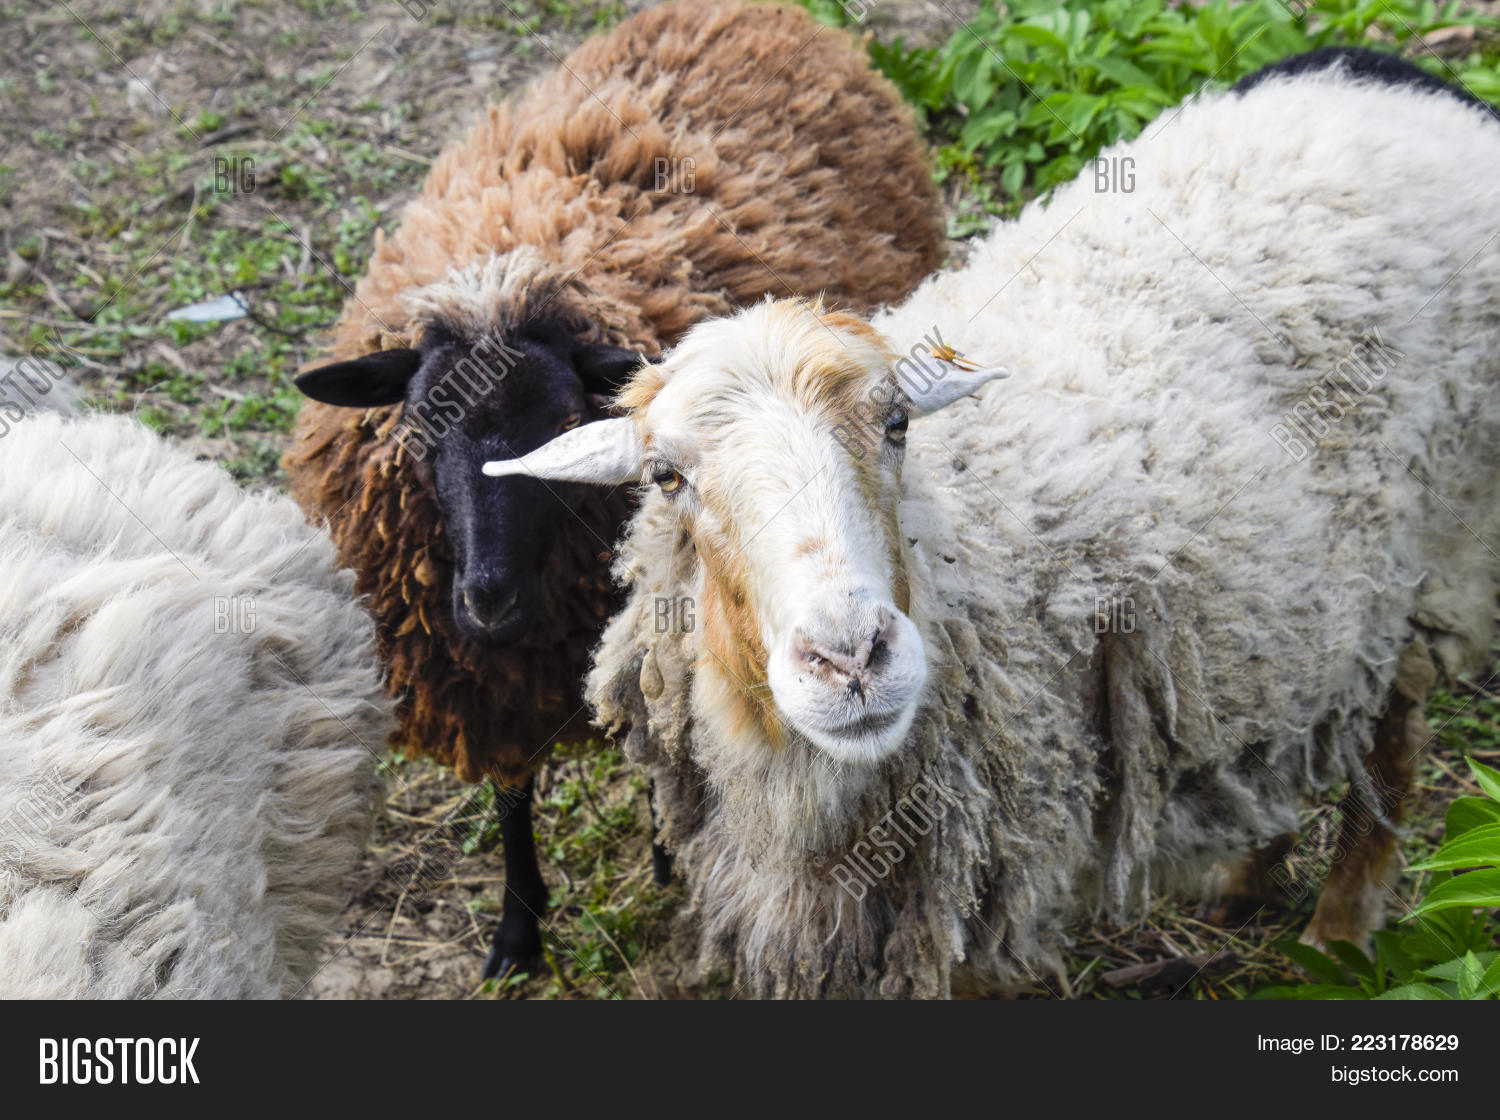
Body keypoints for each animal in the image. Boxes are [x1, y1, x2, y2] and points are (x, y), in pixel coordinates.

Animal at [283, 0, 943, 977]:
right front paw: (519, 928)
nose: (489, 601)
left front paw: (667, 856)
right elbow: (513, 794)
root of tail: (755, 10)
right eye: (418, 427)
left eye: (565, 422)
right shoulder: (495, 683)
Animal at [485, 50, 1500, 997]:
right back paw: (1246, 877)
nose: (851, 659)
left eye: (898, 424)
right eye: (665, 476)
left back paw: (1341, 934)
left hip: (1436, 559)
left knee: (1393, 737)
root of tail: (1395, 80)